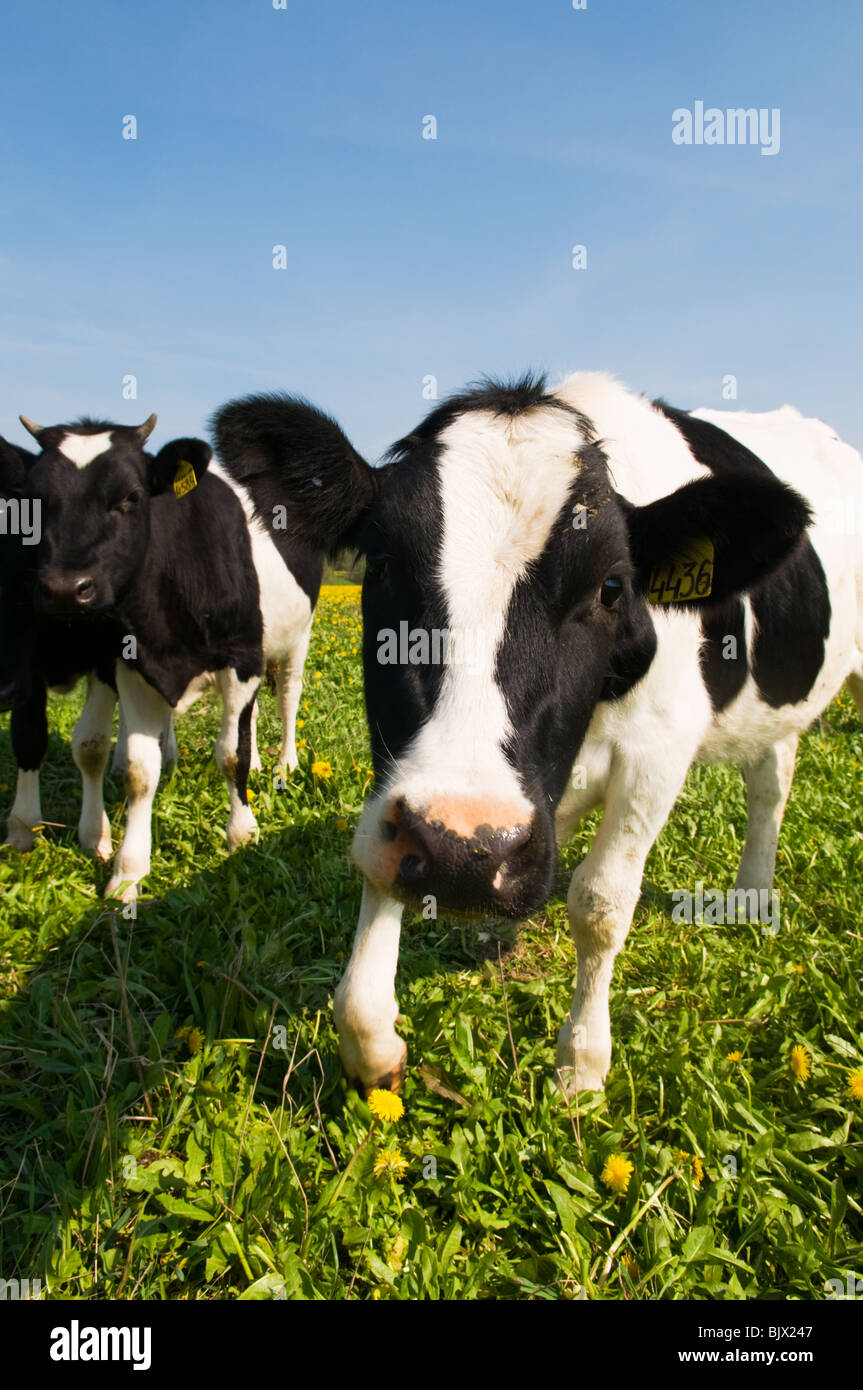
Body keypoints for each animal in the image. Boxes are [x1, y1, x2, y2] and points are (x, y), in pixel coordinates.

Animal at [0, 400, 354, 899]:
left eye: (131, 497)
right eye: (33, 501)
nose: (67, 589)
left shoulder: (240, 658)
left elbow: (230, 753)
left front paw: (242, 832)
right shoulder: (128, 663)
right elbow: (135, 766)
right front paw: (127, 870)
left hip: (295, 639)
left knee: (286, 698)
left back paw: (284, 765)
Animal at [218, 374, 863, 1097]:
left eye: (612, 586)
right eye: (380, 562)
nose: (463, 853)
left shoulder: (658, 752)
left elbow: (600, 903)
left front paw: (581, 1065)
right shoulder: (404, 789)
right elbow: (379, 878)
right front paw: (374, 1045)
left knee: (768, 787)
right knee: (770, 771)